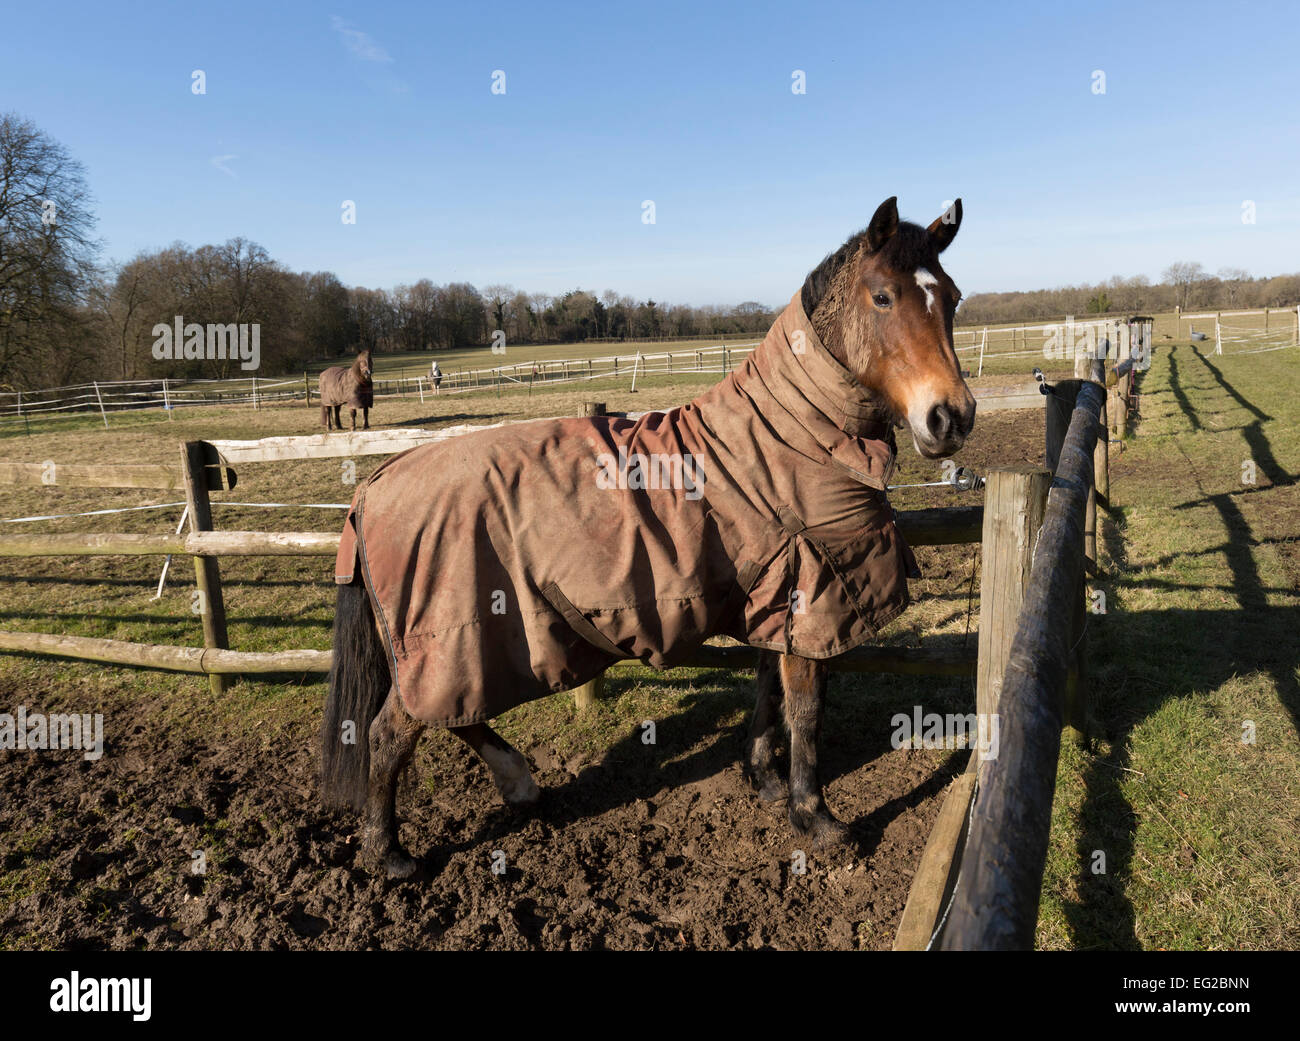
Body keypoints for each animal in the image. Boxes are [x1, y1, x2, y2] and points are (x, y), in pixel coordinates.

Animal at [321, 197, 975, 878]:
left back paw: (518, 784)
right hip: (448, 644)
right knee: (391, 733)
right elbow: (806, 709)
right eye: (882, 297)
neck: (786, 436)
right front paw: (815, 818)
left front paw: (764, 780)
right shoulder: (812, 596)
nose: (950, 418)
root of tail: (374, 486)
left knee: (453, 718)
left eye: (952, 297)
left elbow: (768, 686)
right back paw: (388, 852)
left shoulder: (775, 594)